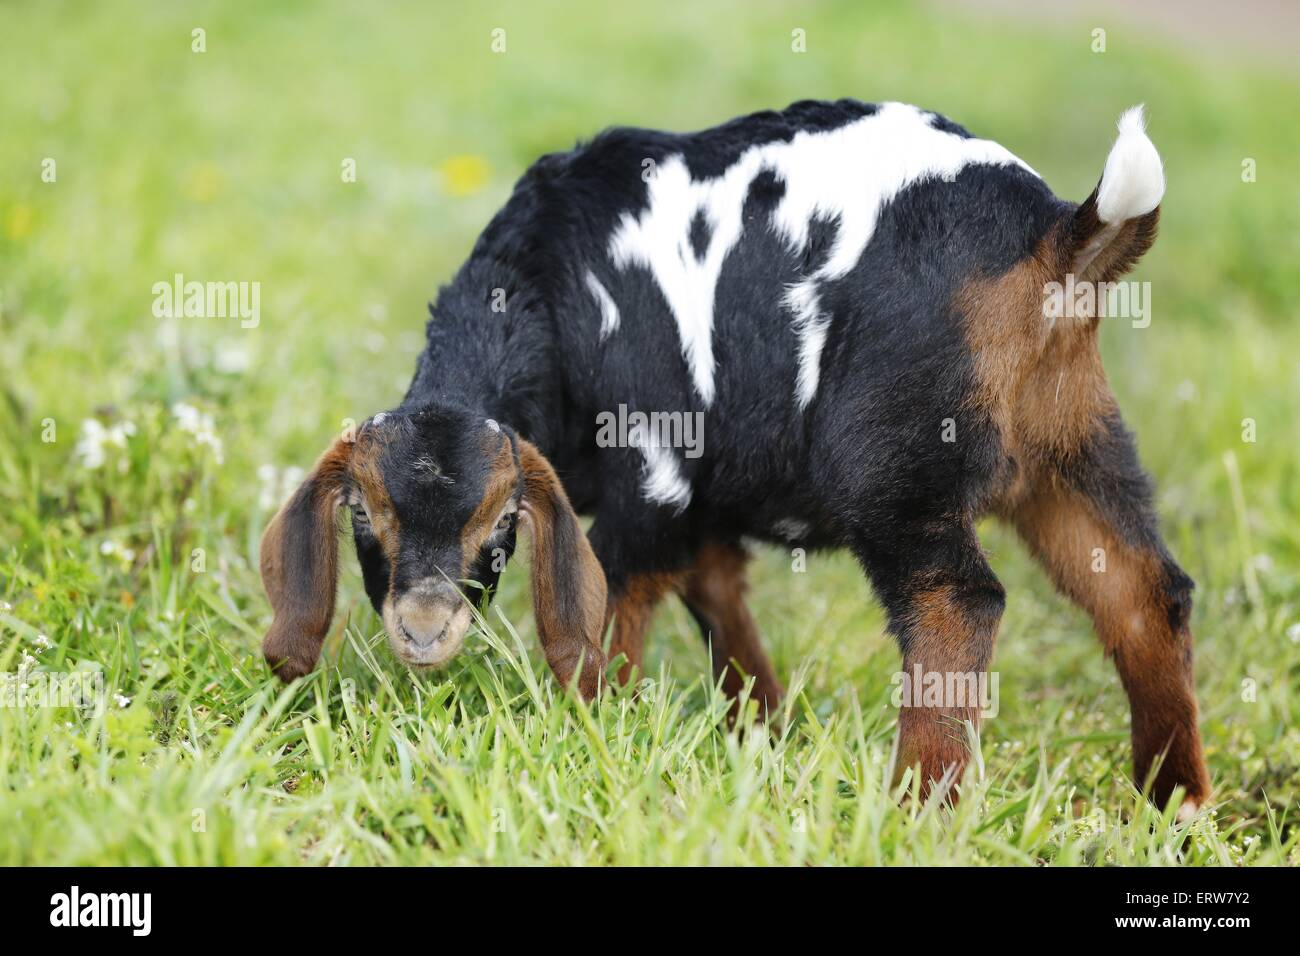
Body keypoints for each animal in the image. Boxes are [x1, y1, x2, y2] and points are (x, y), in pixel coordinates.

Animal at [259, 99, 1209, 812]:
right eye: (365, 519)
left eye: (500, 526)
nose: (423, 629)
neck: (545, 288)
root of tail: (1055, 233)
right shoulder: (709, 485)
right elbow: (715, 583)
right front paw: (762, 731)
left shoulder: (654, 463)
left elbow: (617, 595)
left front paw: (586, 732)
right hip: (1072, 445)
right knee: (1141, 589)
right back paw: (1173, 802)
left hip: (891, 451)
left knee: (958, 598)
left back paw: (919, 807)